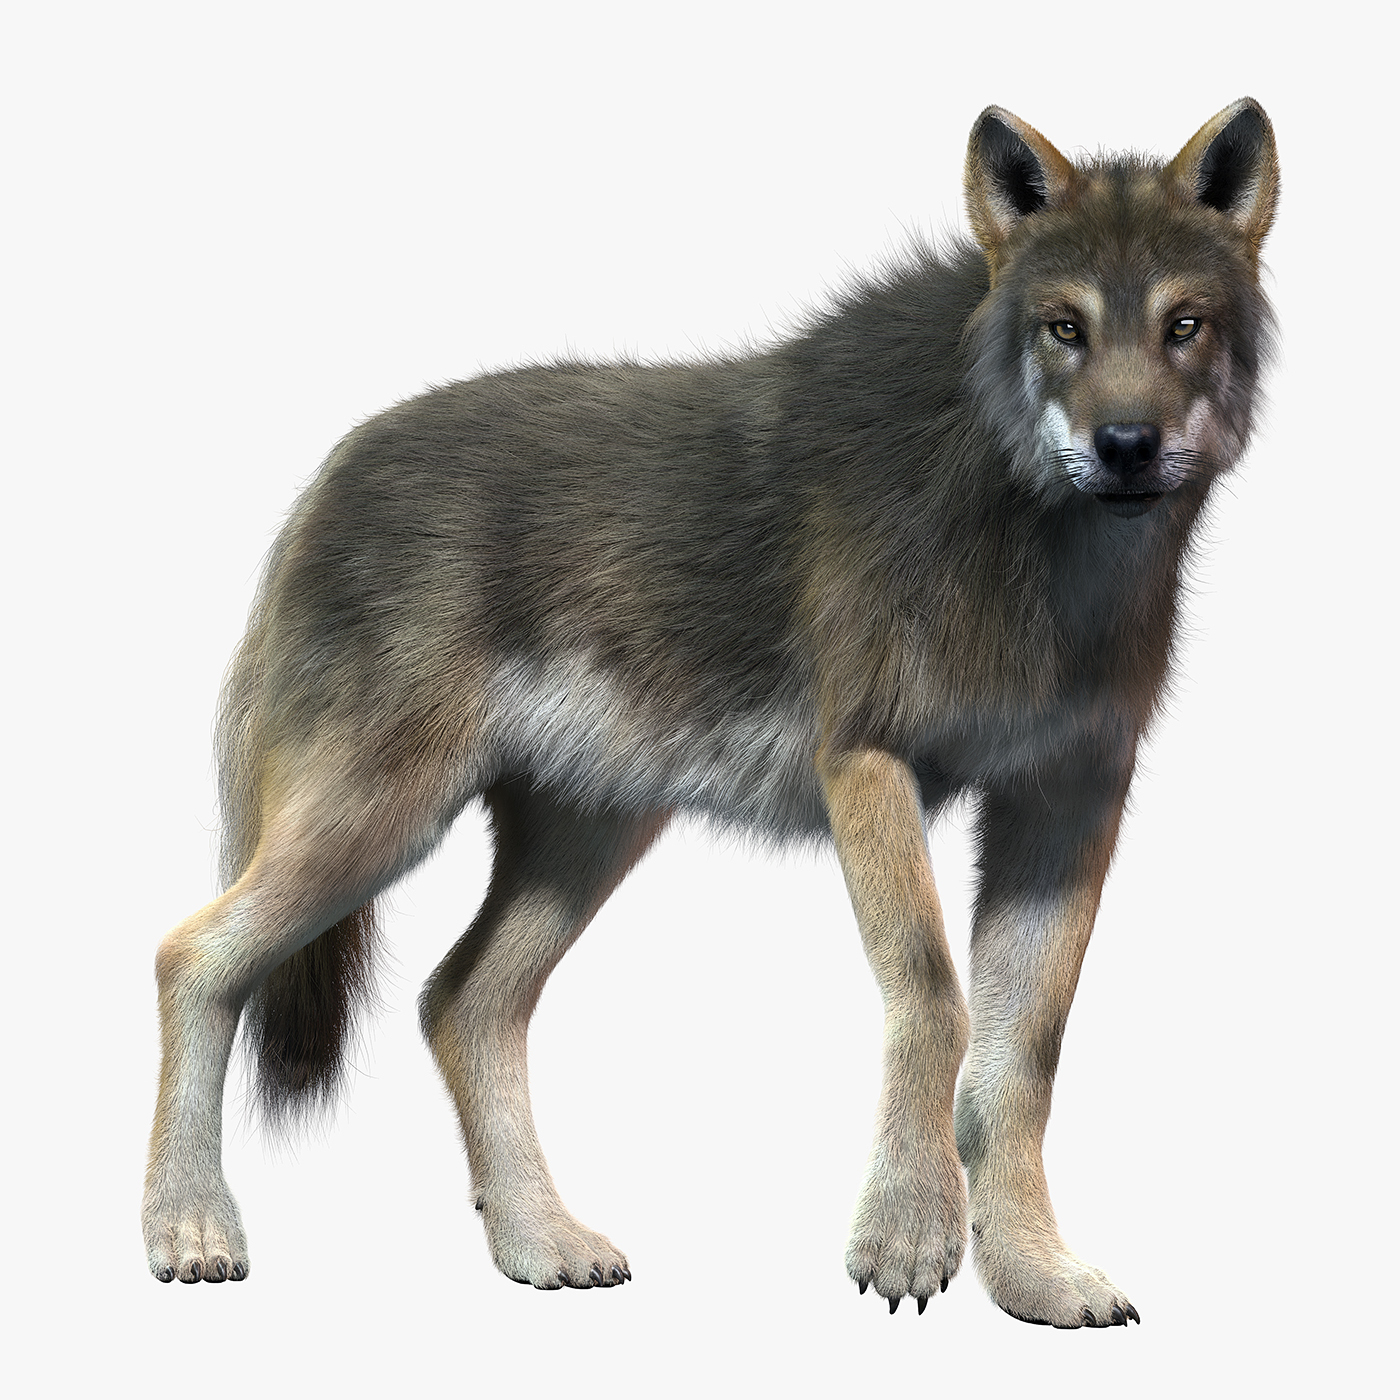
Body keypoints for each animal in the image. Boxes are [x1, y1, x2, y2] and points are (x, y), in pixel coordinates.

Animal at [142, 99, 1278, 1327]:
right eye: (1065, 327)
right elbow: (935, 997)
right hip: (381, 821)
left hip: (583, 841)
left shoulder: (1068, 800)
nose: (1126, 447)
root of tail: (325, 479)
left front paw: (1034, 1274)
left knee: (461, 1001)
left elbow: (1023, 1056)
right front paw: (905, 1239)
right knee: (194, 955)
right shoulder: (866, 760)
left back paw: (540, 1244)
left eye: (1183, 325)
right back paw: (190, 1229)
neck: (1034, 543)